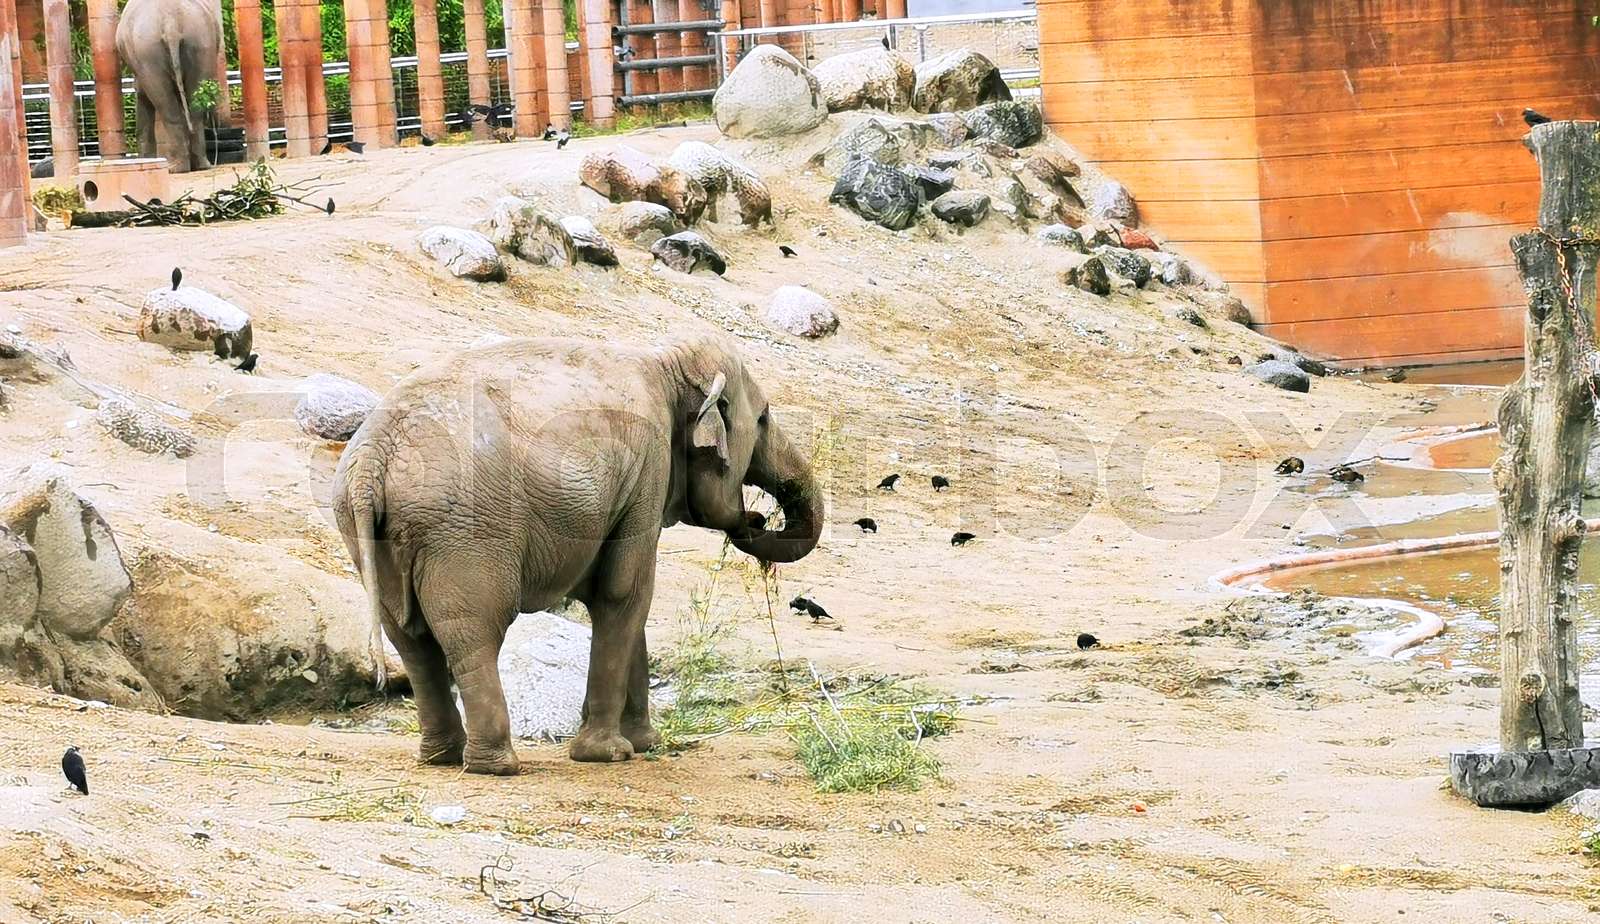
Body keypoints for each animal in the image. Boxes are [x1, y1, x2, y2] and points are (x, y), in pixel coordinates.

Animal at [115, 0, 223, 173]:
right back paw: (201, 166)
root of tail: (170, 22)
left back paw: (175, 169)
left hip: (147, 52)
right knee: (194, 107)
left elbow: (143, 96)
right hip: (201, 42)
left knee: (164, 104)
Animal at [331, 335, 824, 775]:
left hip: (371, 535)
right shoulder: (648, 467)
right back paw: (496, 766)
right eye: (763, 420)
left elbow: (624, 600)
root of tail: (373, 459)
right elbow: (626, 592)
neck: (667, 361)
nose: (756, 519)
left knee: (410, 638)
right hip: (464, 533)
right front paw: (609, 755)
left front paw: (644, 744)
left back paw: (441, 758)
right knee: (473, 633)